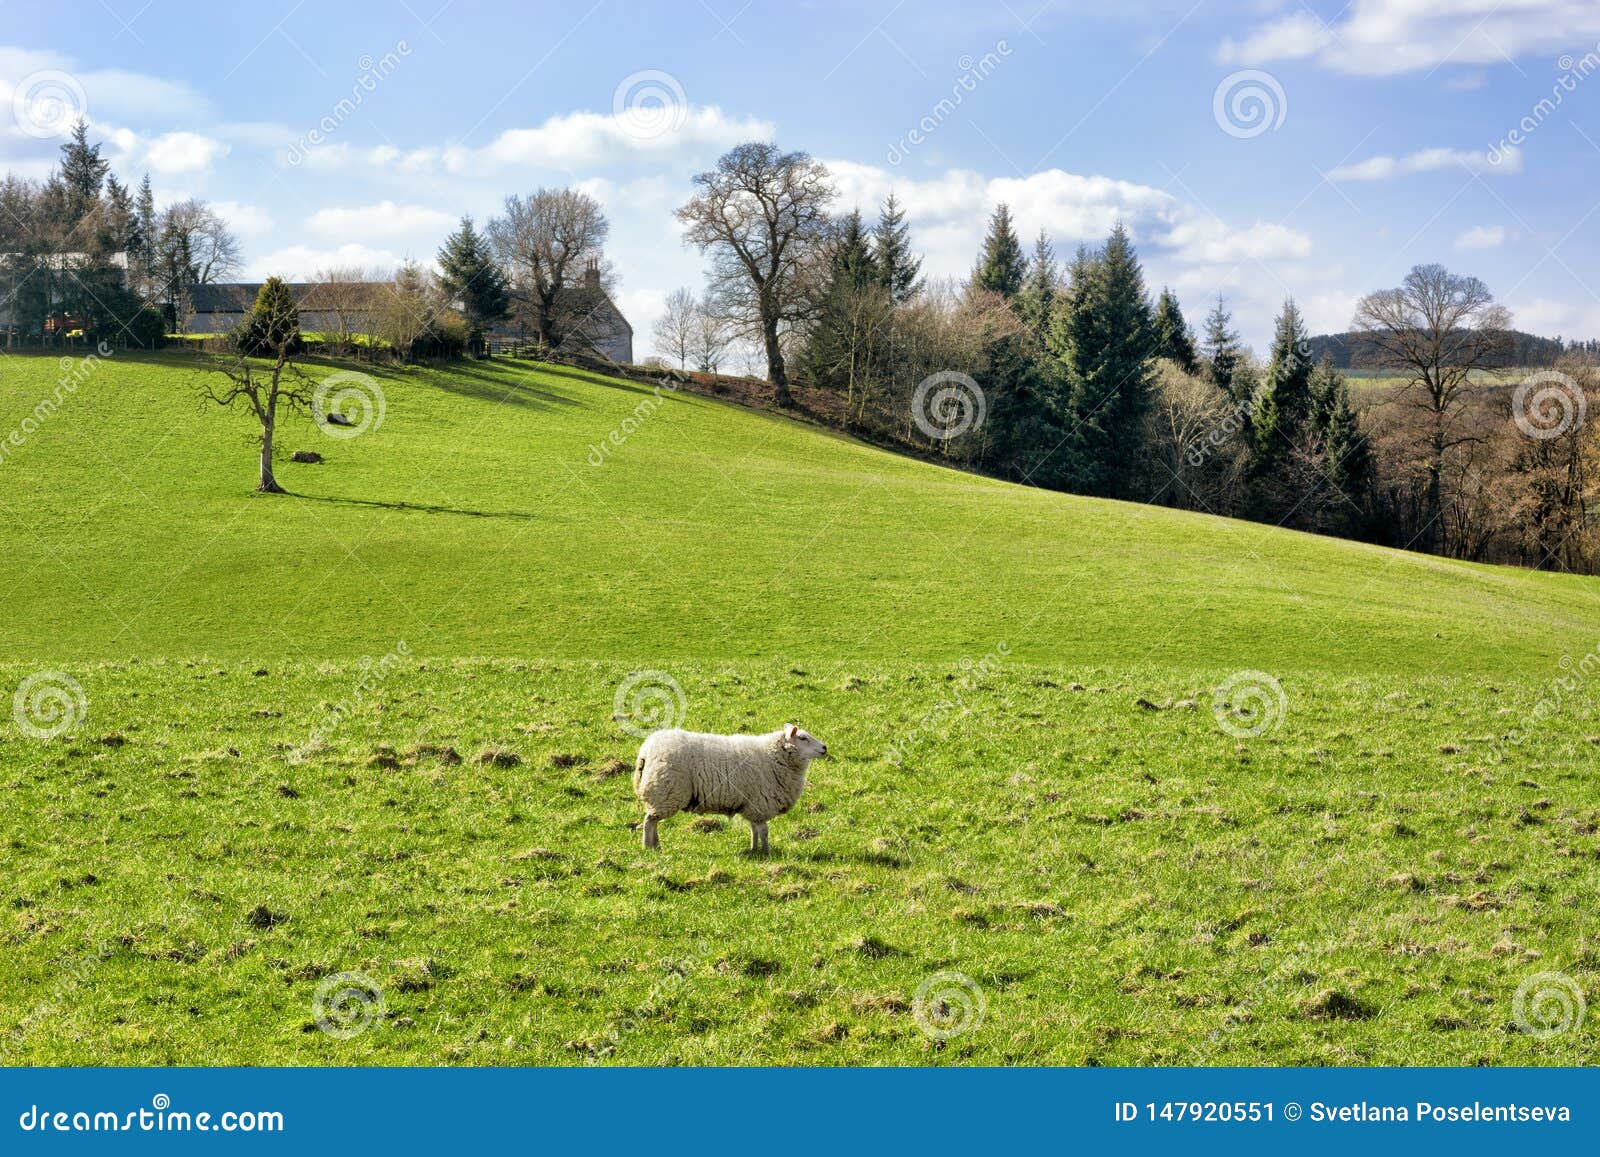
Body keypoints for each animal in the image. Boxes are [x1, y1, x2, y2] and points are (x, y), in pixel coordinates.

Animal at [633, 723, 828, 853]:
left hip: (661, 794)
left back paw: (657, 846)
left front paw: (754, 850)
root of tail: (646, 750)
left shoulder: (752, 805)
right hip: (665, 791)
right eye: (803, 738)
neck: (774, 756)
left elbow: (754, 829)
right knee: (649, 822)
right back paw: (648, 847)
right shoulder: (760, 803)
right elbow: (764, 831)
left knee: (653, 821)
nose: (825, 748)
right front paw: (766, 852)